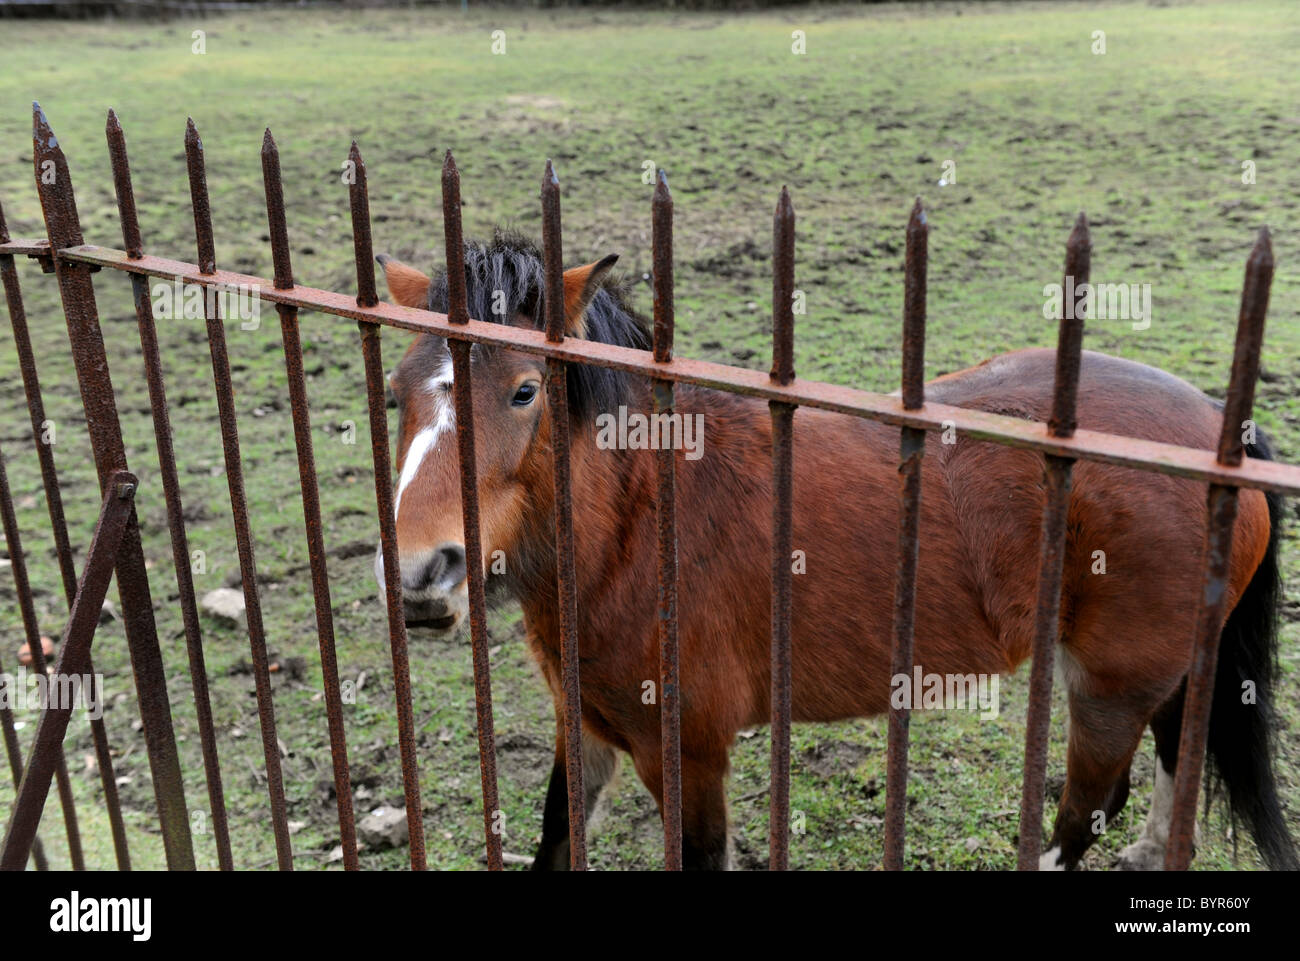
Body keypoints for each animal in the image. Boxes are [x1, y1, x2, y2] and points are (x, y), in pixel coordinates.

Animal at [373, 229, 1296, 871]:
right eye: (393, 393)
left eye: (526, 390)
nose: (421, 570)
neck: (641, 521)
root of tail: (1224, 434)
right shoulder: (586, 727)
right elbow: (555, 837)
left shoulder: (690, 750)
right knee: (1174, 752)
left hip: (1108, 687)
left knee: (1090, 805)